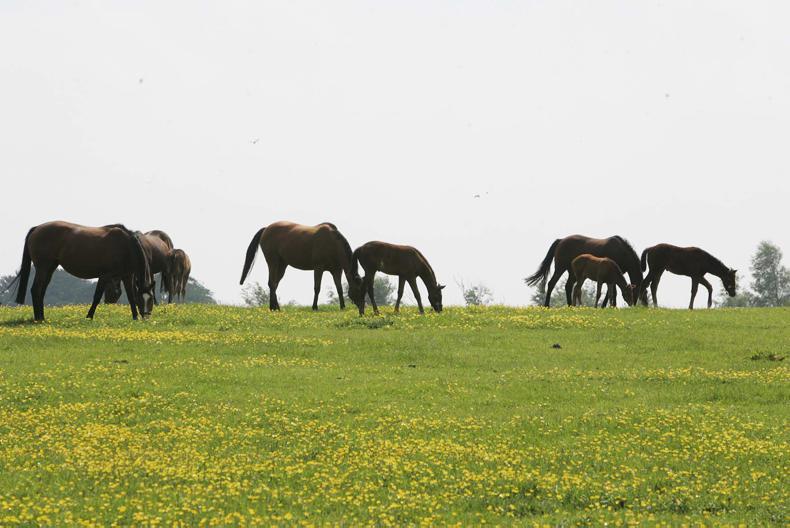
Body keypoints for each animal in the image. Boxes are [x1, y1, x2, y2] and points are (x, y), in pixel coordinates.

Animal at [13, 221, 151, 321]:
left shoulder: (127, 276)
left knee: (41, 291)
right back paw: (38, 318)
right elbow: (97, 297)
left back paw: (42, 317)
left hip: (49, 269)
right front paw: (89, 316)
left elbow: (131, 296)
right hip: (42, 268)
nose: (146, 317)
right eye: (142, 299)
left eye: (150, 300)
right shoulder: (105, 276)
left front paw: (135, 317)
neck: (125, 245)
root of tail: (37, 228)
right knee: (36, 290)